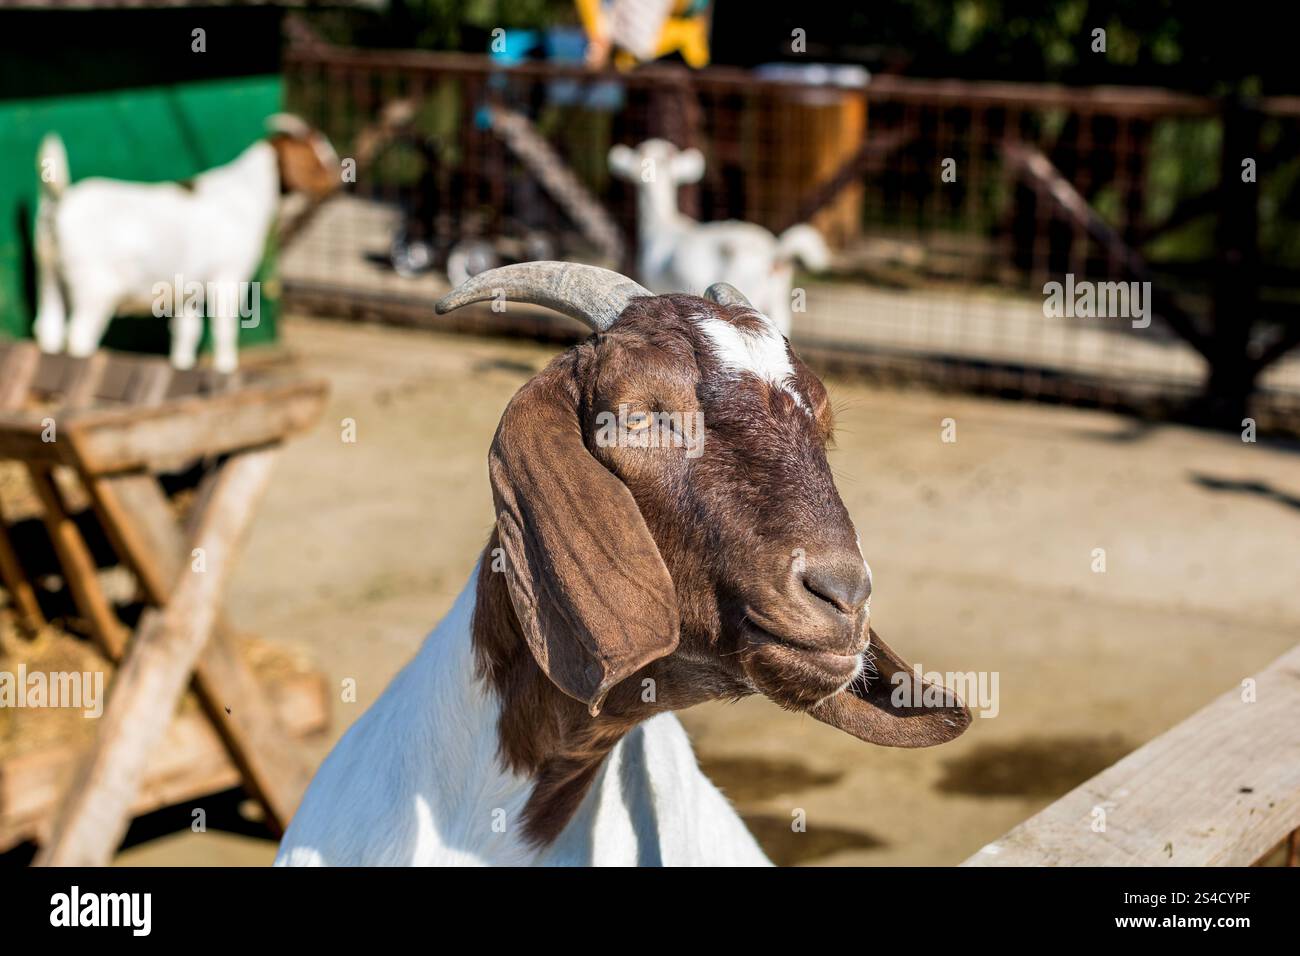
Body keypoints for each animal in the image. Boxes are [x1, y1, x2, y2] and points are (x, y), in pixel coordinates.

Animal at [34, 115, 338, 373]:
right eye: (319, 156)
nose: (337, 185)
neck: (245, 195)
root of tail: (61, 202)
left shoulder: (186, 290)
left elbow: (187, 334)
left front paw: (182, 370)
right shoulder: (227, 277)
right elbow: (224, 330)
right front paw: (226, 372)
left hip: (50, 275)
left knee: (48, 329)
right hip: (96, 287)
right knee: (79, 336)